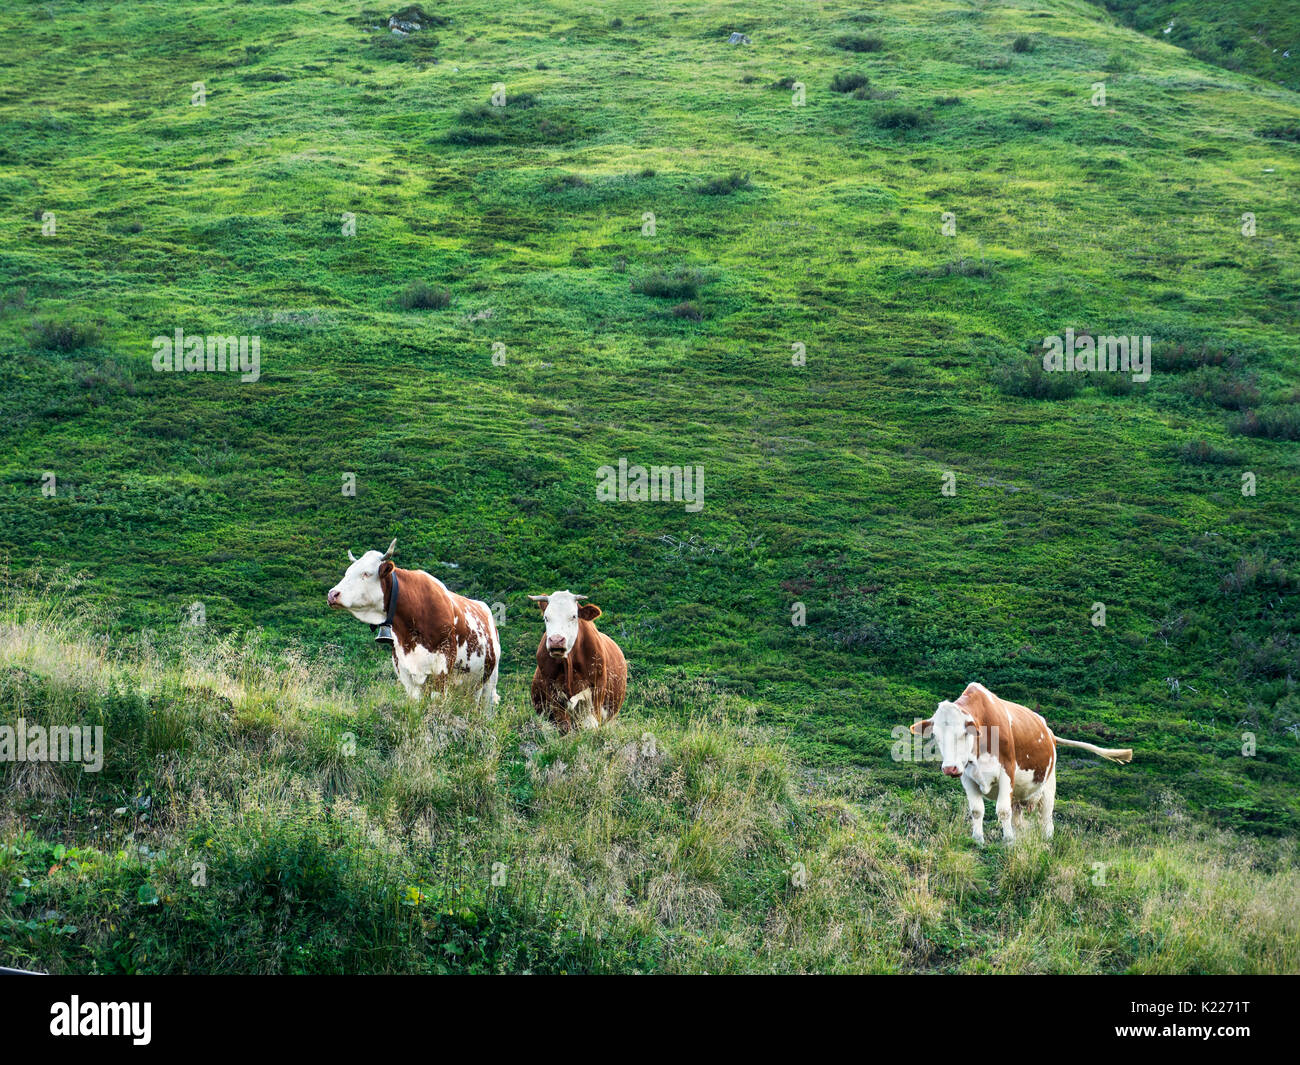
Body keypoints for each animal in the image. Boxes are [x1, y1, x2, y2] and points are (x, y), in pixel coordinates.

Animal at [327, 539, 500, 708]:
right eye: (347, 573)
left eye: (366, 573)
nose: (332, 594)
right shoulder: (404, 670)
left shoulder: (442, 666)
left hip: (490, 680)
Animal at [527, 590, 627, 732]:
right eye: (546, 617)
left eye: (574, 616)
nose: (556, 640)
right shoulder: (552, 691)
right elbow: (564, 726)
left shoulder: (597, 689)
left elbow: (592, 725)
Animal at [909, 682, 1132, 845]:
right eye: (936, 736)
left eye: (964, 733)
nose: (949, 768)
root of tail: (1050, 733)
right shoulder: (967, 776)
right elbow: (977, 810)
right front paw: (978, 839)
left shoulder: (1007, 772)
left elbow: (1002, 810)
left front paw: (1008, 841)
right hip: (1017, 795)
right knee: (1018, 817)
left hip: (1048, 786)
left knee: (1046, 819)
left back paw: (1046, 840)